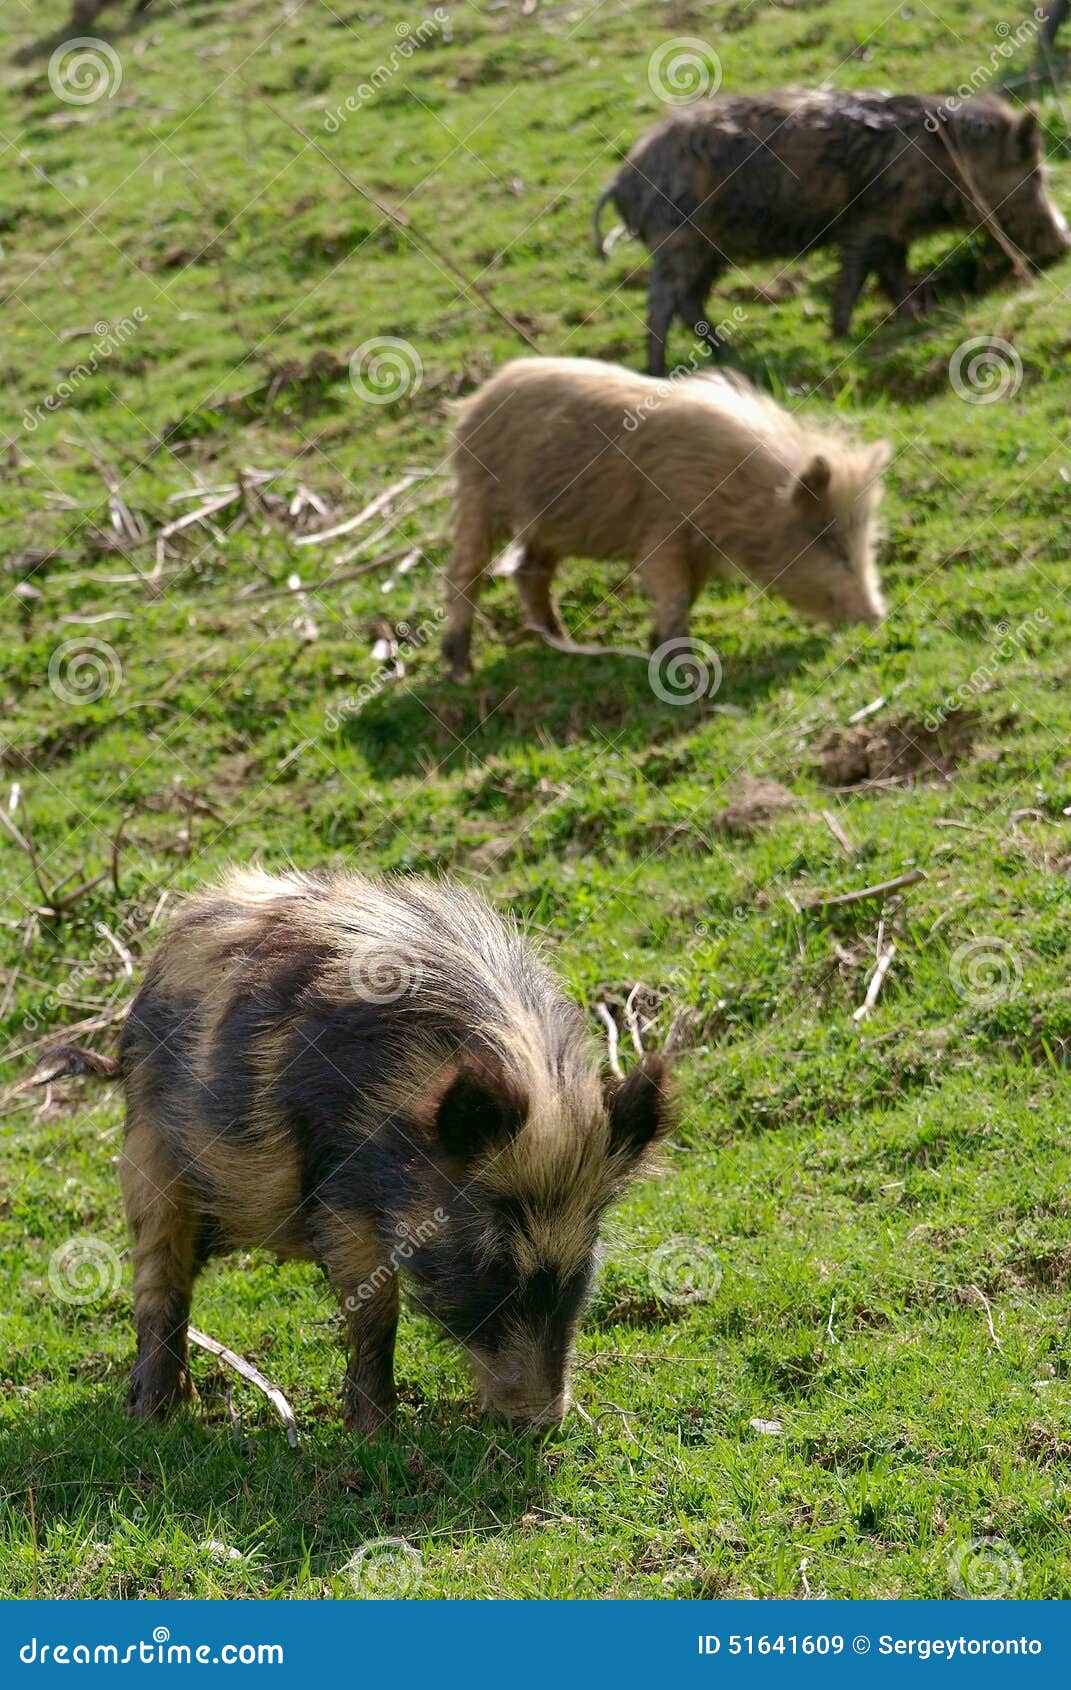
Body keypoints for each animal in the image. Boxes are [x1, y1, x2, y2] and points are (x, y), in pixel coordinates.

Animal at [112, 867, 672, 1433]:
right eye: (488, 1250)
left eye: (588, 1249)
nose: (539, 1422)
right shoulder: (338, 1181)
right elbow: (376, 1309)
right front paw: (375, 1432)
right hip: (147, 1146)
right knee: (160, 1276)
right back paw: (154, 1414)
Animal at [442, 356, 889, 680]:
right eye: (828, 542)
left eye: (866, 542)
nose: (877, 617)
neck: (741, 493)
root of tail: (473, 403)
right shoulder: (664, 533)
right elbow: (673, 594)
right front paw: (685, 668)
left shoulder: (701, 549)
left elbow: (688, 594)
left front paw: (655, 646)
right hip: (479, 495)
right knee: (464, 573)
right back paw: (463, 670)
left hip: (549, 524)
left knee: (529, 572)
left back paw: (561, 641)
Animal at [593, 91, 1070, 374]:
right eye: (1034, 175)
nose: (1062, 244)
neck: (948, 163)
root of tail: (622, 177)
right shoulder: (869, 225)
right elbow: (858, 277)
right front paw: (843, 334)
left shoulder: (890, 231)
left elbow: (893, 276)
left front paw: (912, 319)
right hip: (678, 240)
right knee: (662, 303)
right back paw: (658, 371)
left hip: (710, 251)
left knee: (690, 303)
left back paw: (732, 357)